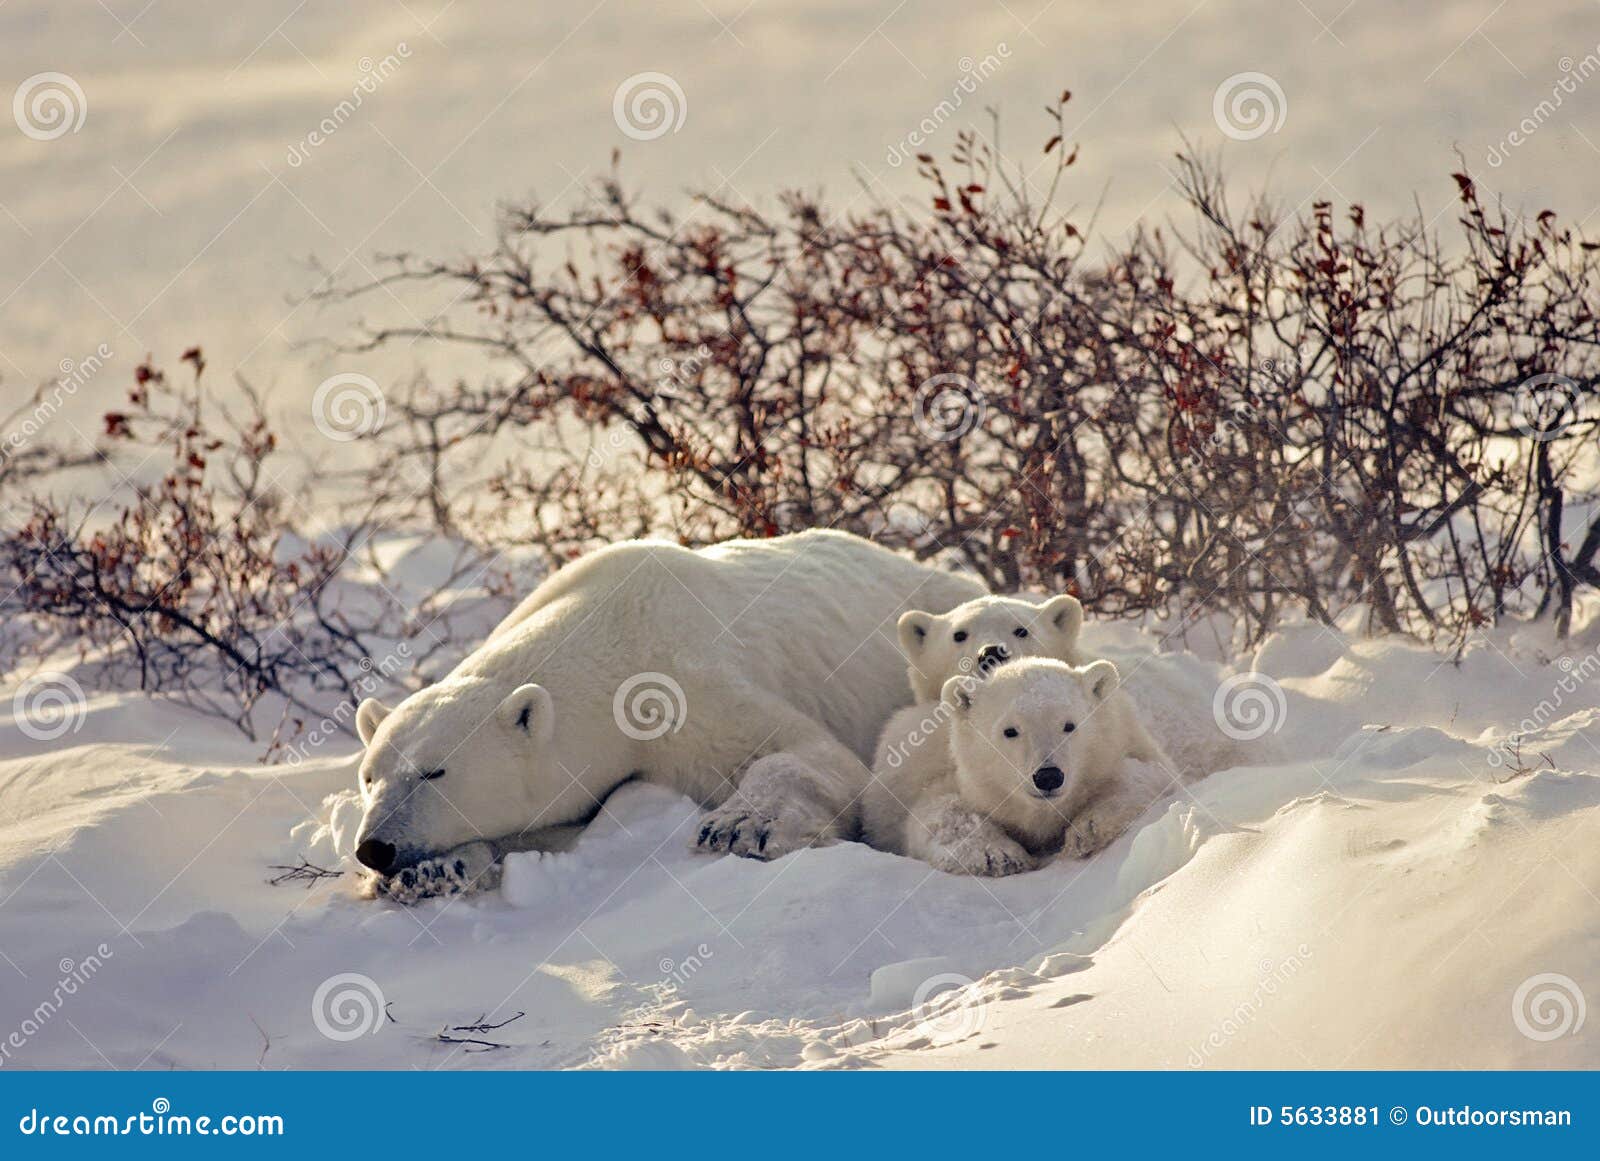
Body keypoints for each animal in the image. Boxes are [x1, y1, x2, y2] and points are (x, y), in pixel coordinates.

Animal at [351, 529, 986, 902]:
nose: (374, 848)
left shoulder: (682, 682)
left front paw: (740, 824)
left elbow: (812, 754)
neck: (610, 635)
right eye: (370, 777)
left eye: (434, 771)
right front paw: (432, 872)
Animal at [861, 658, 1171, 876]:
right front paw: (999, 856)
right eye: (1010, 731)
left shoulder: (1125, 740)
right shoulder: (953, 776)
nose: (1048, 776)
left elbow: (1149, 775)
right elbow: (940, 810)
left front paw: (1090, 828)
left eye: (1069, 725)